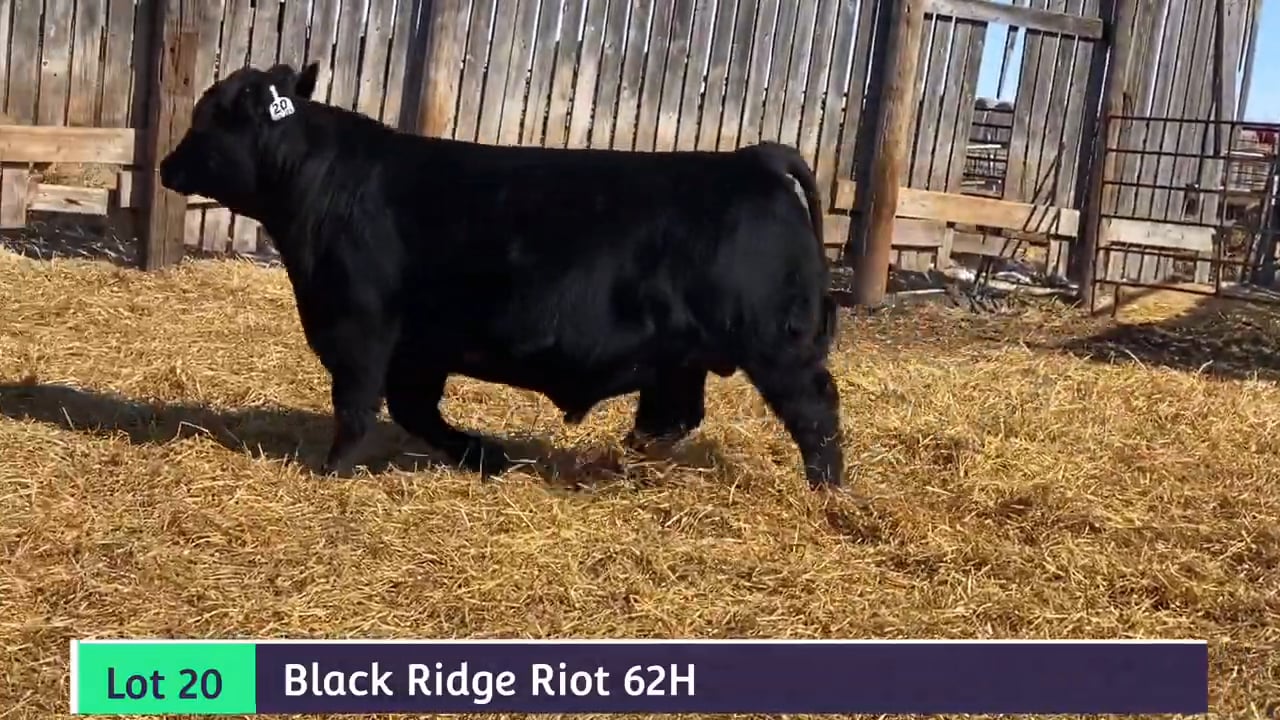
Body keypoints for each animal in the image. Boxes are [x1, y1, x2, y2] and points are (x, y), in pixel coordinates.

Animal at [158, 62, 845, 489]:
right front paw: (487, 455)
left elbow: (357, 405)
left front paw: (332, 471)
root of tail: (752, 157)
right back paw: (610, 466)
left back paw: (829, 491)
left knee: (815, 409)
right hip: (681, 353)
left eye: (206, 118)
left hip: (774, 343)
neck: (327, 183)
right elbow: (413, 408)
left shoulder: (359, 327)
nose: (166, 164)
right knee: (670, 416)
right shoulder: (418, 345)